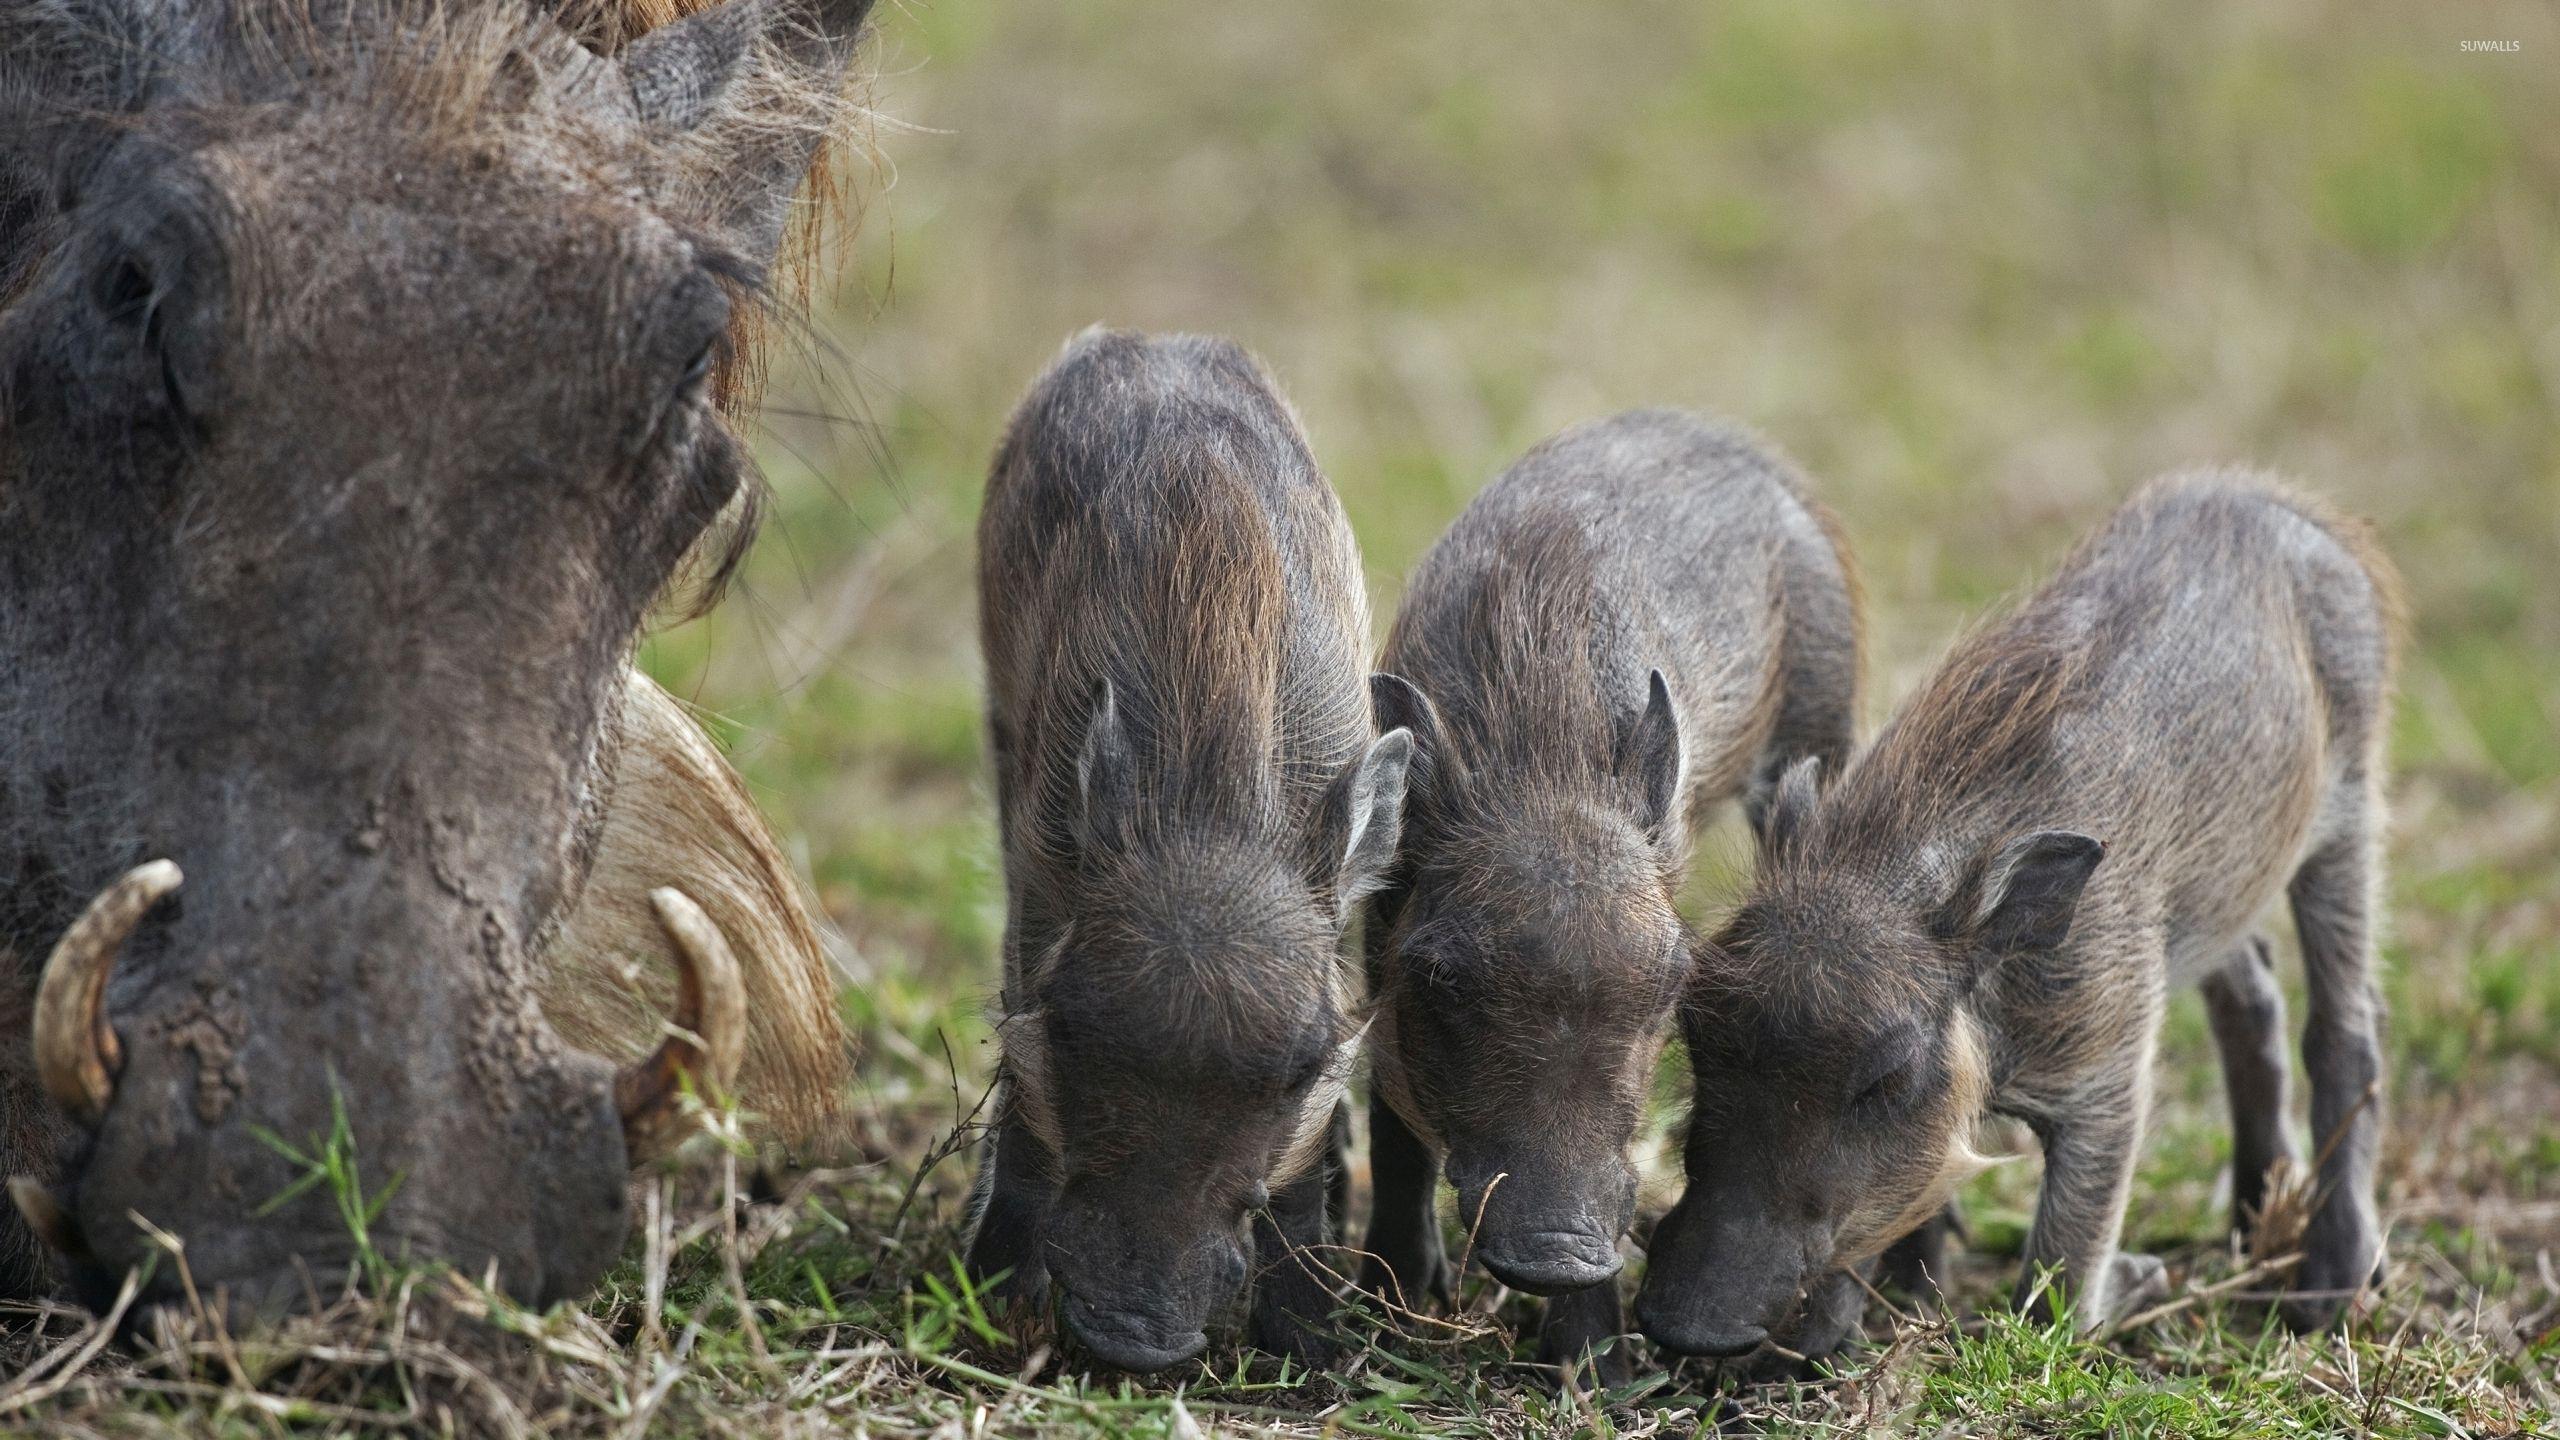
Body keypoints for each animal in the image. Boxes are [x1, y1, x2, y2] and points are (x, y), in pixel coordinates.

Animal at [965, 330, 1414, 1372]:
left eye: (1300, 1065)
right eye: (1071, 1022)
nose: (1131, 1337)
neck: (1212, 807)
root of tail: (1145, 340)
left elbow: (1299, 1168)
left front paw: (1311, 1350)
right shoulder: (1043, 886)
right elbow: (1027, 1098)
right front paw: (990, 1309)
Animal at [1360, 410, 1862, 1372]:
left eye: (1674, 980)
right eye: (1440, 976)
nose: (1559, 1252)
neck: (1542, 752)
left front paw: (1594, 1371)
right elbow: (1392, 1121)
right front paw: (1384, 1308)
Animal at [1640, 471, 2400, 1356]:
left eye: (1887, 1077)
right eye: (1698, 1035)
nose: (1687, 1325)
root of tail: (2277, 501)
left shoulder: (2108, 1070)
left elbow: (2061, 1274)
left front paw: (2134, 1286)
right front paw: (1897, 1304)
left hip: (2348, 817)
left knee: (2346, 1027)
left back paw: (2332, 1287)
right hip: (2222, 895)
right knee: (2252, 997)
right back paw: (2251, 1225)